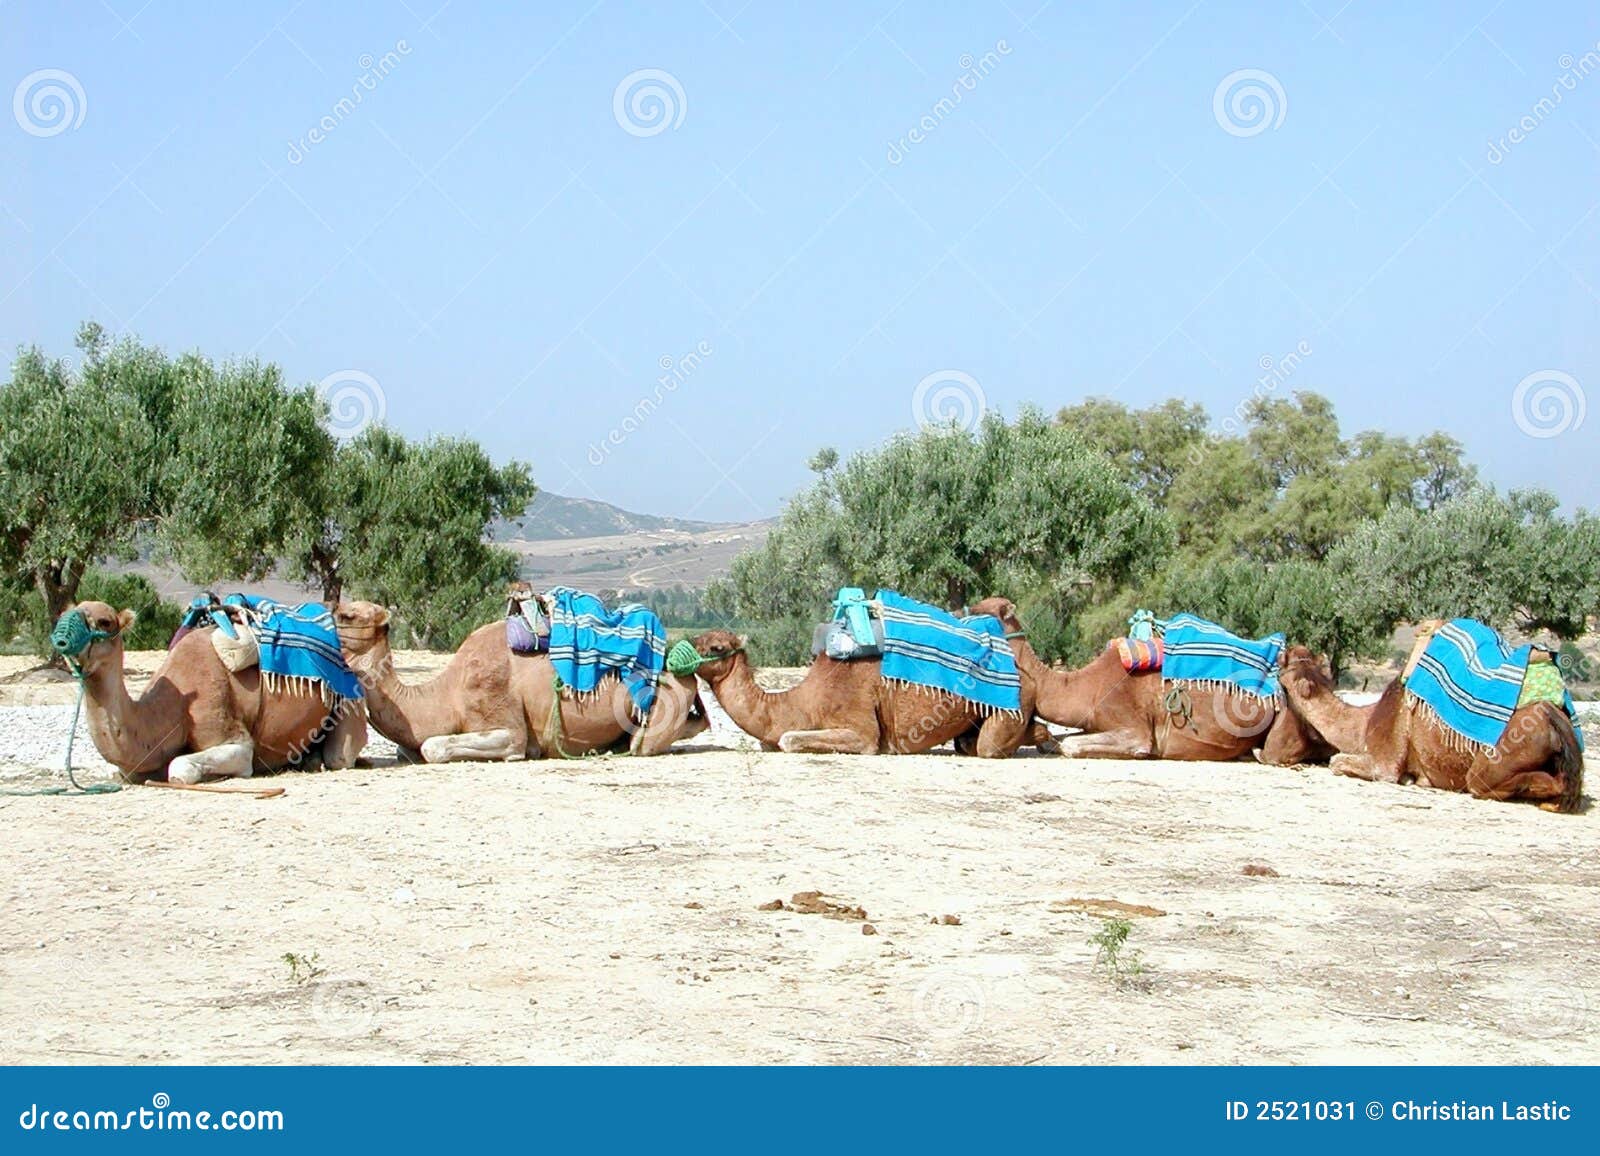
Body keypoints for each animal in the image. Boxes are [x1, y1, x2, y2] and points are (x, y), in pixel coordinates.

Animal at [58, 601, 366, 783]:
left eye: (105, 622)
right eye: (65, 614)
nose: (61, 637)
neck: (175, 707)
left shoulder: (234, 739)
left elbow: (179, 768)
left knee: (341, 754)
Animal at [333, 601, 708, 761]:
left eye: (347, 615)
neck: (446, 694)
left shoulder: (505, 722)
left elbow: (433, 747)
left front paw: (520, 755)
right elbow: (406, 750)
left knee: (646, 742)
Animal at [681, 627, 1036, 756]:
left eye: (716, 647)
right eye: (698, 637)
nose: (678, 653)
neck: (803, 701)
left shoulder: (860, 729)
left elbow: (788, 739)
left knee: (988, 746)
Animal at [966, 597, 1330, 764]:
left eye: (979, 613)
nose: (955, 612)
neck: (1086, 685)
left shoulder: (1133, 726)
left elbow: (1072, 745)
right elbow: (1064, 739)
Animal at [1277, 645, 1584, 812]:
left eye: (1286, 664)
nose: (1282, 647)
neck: (1363, 721)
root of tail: (1551, 714)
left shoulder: (1384, 761)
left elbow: (1338, 762)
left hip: (1500, 756)